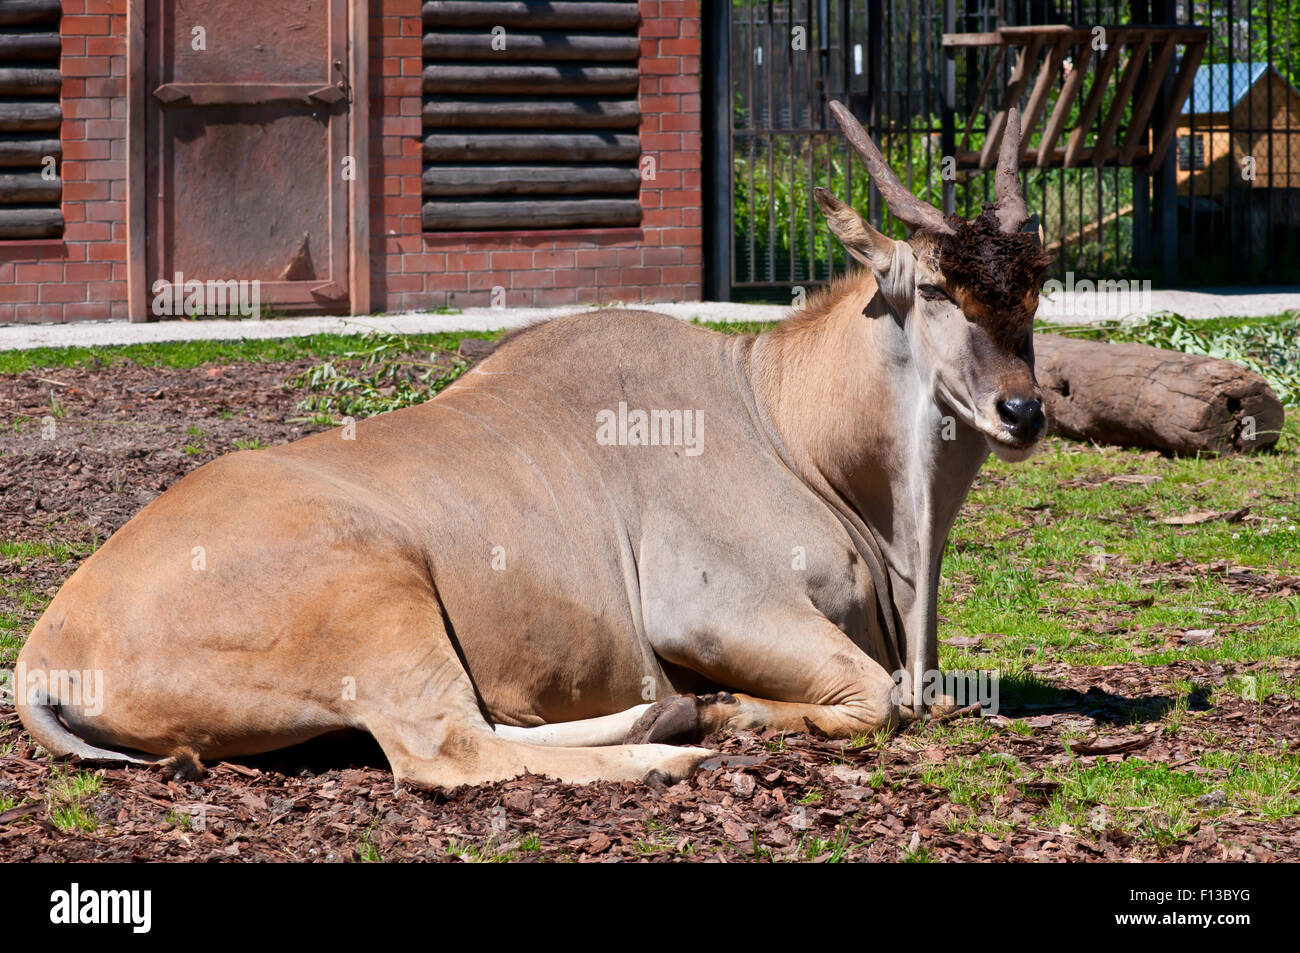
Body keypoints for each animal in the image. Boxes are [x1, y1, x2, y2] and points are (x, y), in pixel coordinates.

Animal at [16, 103, 1050, 787]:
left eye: (1036, 288)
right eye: (940, 289)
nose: (1023, 410)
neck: (776, 414)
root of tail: (45, 653)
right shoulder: (712, 613)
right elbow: (879, 698)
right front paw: (737, 709)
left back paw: (665, 712)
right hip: (382, 599)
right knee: (445, 751)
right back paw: (664, 750)